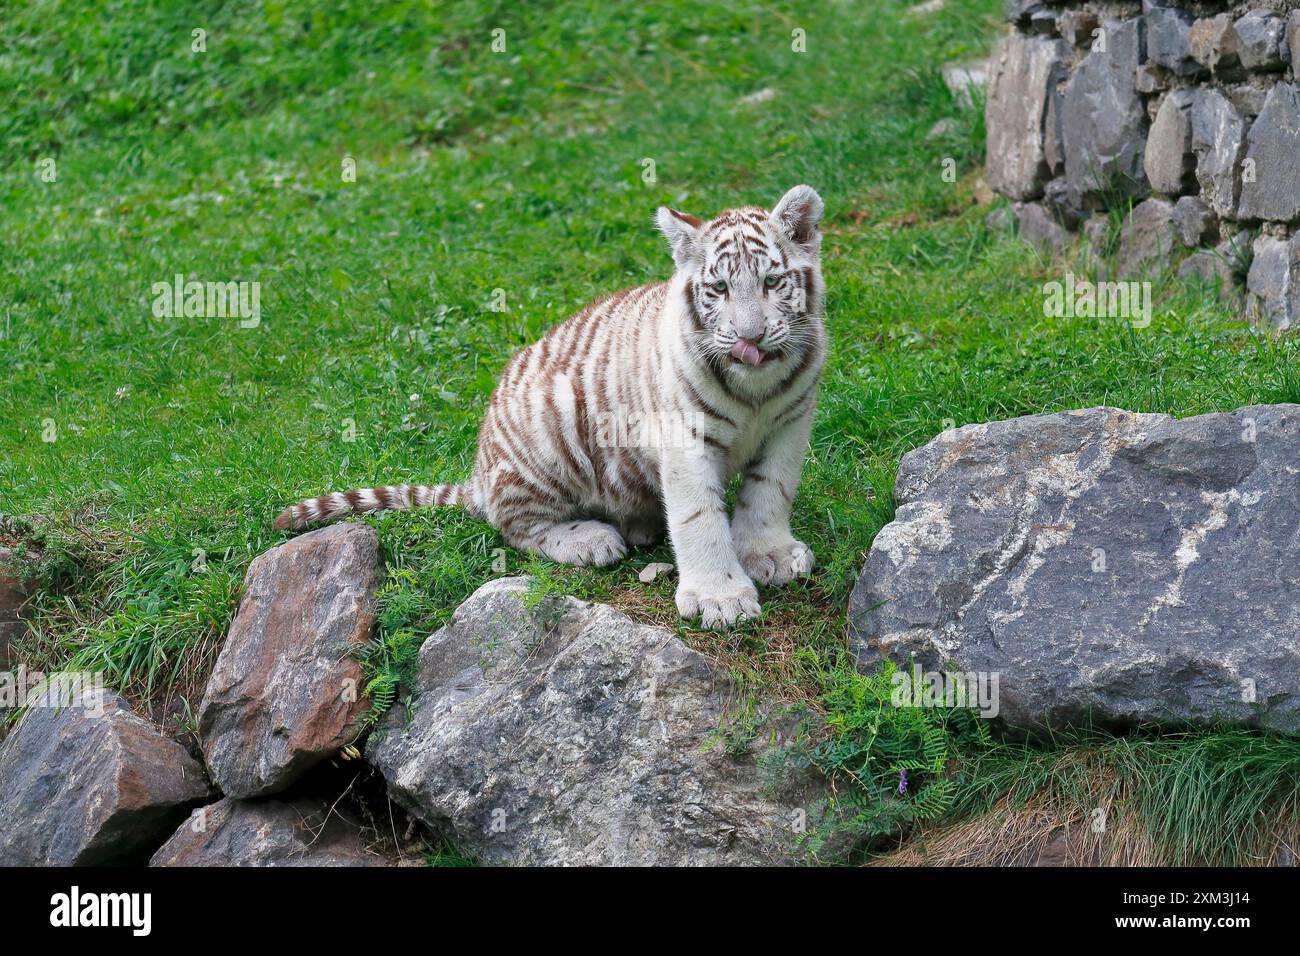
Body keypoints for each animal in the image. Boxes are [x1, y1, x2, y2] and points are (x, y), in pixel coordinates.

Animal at [275, 184, 826, 628]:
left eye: (772, 283)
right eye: (719, 288)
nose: (749, 340)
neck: (756, 389)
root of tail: (480, 473)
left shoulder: (790, 424)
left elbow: (770, 491)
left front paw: (771, 554)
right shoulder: (684, 438)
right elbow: (699, 518)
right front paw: (721, 599)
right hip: (550, 431)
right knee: (516, 526)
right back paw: (592, 540)